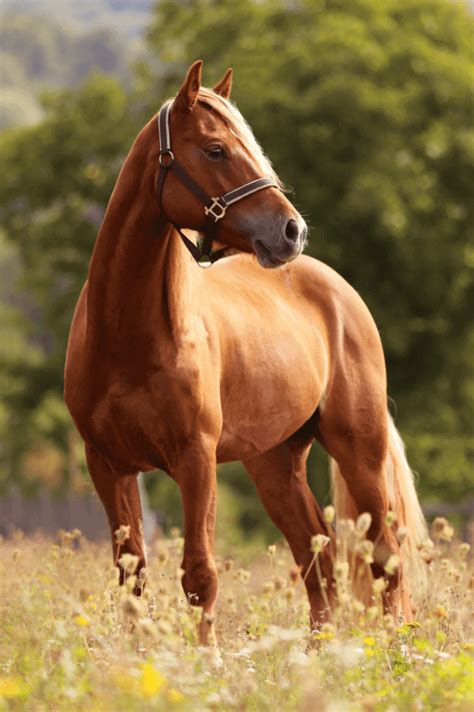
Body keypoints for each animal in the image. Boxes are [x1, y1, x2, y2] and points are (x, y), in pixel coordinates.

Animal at [64, 61, 428, 644]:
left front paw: (205, 659)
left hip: (360, 450)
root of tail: (338, 290)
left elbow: (199, 574)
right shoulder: (107, 464)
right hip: (275, 464)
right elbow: (132, 578)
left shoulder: (195, 459)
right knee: (318, 561)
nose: (292, 230)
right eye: (215, 149)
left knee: (384, 557)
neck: (129, 339)